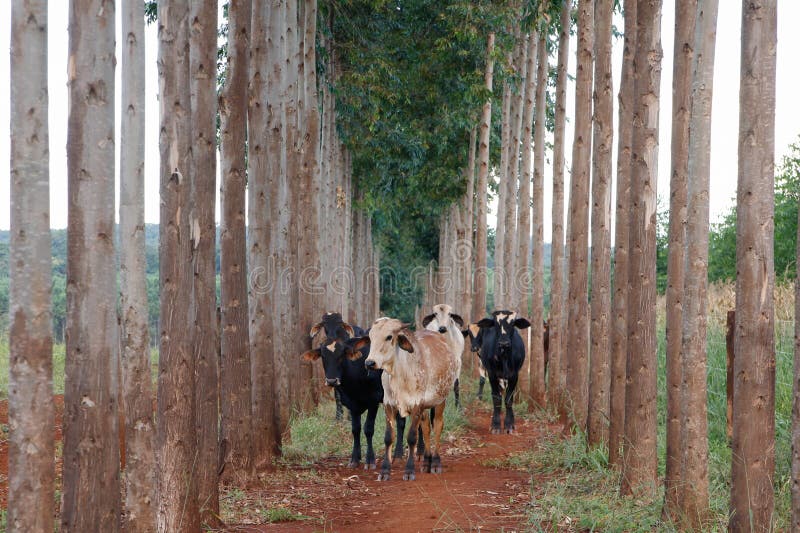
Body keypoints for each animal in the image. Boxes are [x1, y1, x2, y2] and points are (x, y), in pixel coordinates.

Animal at [304, 313, 406, 469]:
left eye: (341, 355)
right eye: (323, 356)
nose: (332, 381)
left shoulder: (373, 400)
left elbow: (368, 429)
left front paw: (370, 460)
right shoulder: (351, 402)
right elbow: (355, 429)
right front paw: (355, 458)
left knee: (402, 422)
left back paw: (399, 454)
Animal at [352, 317, 460, 481]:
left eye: (389, 337)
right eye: (371, 337)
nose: (369, 363)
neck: (399, 374)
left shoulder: (416, 405)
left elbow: (412, 437)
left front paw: (409, 471)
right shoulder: (389, 406)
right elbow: (389, 437)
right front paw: (385, 471)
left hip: (441, 399)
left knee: (437, 426)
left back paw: (435, 463)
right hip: (425, 407)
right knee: (426, 427)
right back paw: (426, 462)